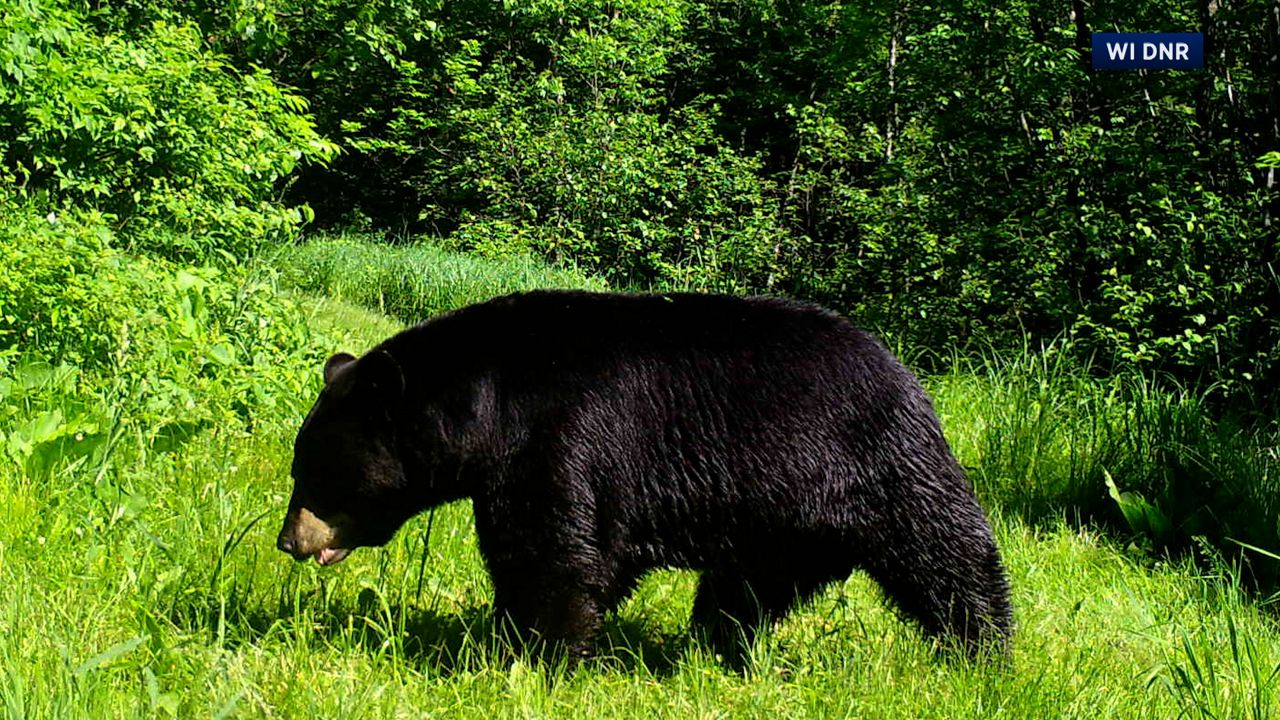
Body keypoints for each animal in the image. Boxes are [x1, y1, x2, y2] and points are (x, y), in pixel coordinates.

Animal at [277, 288, 1008, 661]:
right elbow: (587, 556)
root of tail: (909, 376)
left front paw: (531, 652)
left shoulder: (562, 436)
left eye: (314, 473)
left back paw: (983, 654)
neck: (489, 399)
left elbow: (550, 553)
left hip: (881, 464)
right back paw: (714, 647)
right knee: (745, 589)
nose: (289, 540)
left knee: (948, 554)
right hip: (785, 524)